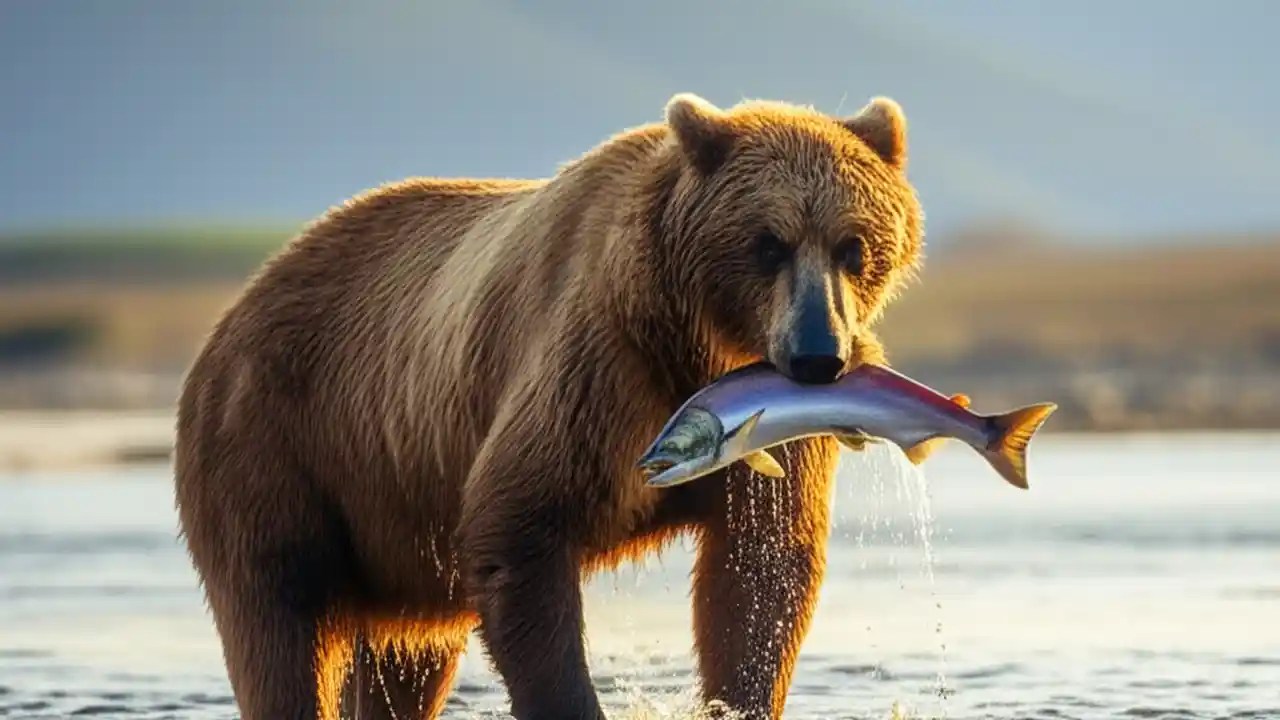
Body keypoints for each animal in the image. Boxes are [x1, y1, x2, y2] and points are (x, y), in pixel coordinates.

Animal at [173, 91, 928, 720]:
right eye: (767, 243)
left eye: (854, 245)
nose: (818, 356)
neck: (689, 345)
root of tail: (239, 304)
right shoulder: (595, 369)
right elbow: (519, 530)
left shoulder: (771, 429)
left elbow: (760, 570)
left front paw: (738, 697)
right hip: (278, 445)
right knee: (278, 621)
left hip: (391, 525)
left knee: (404, 662)